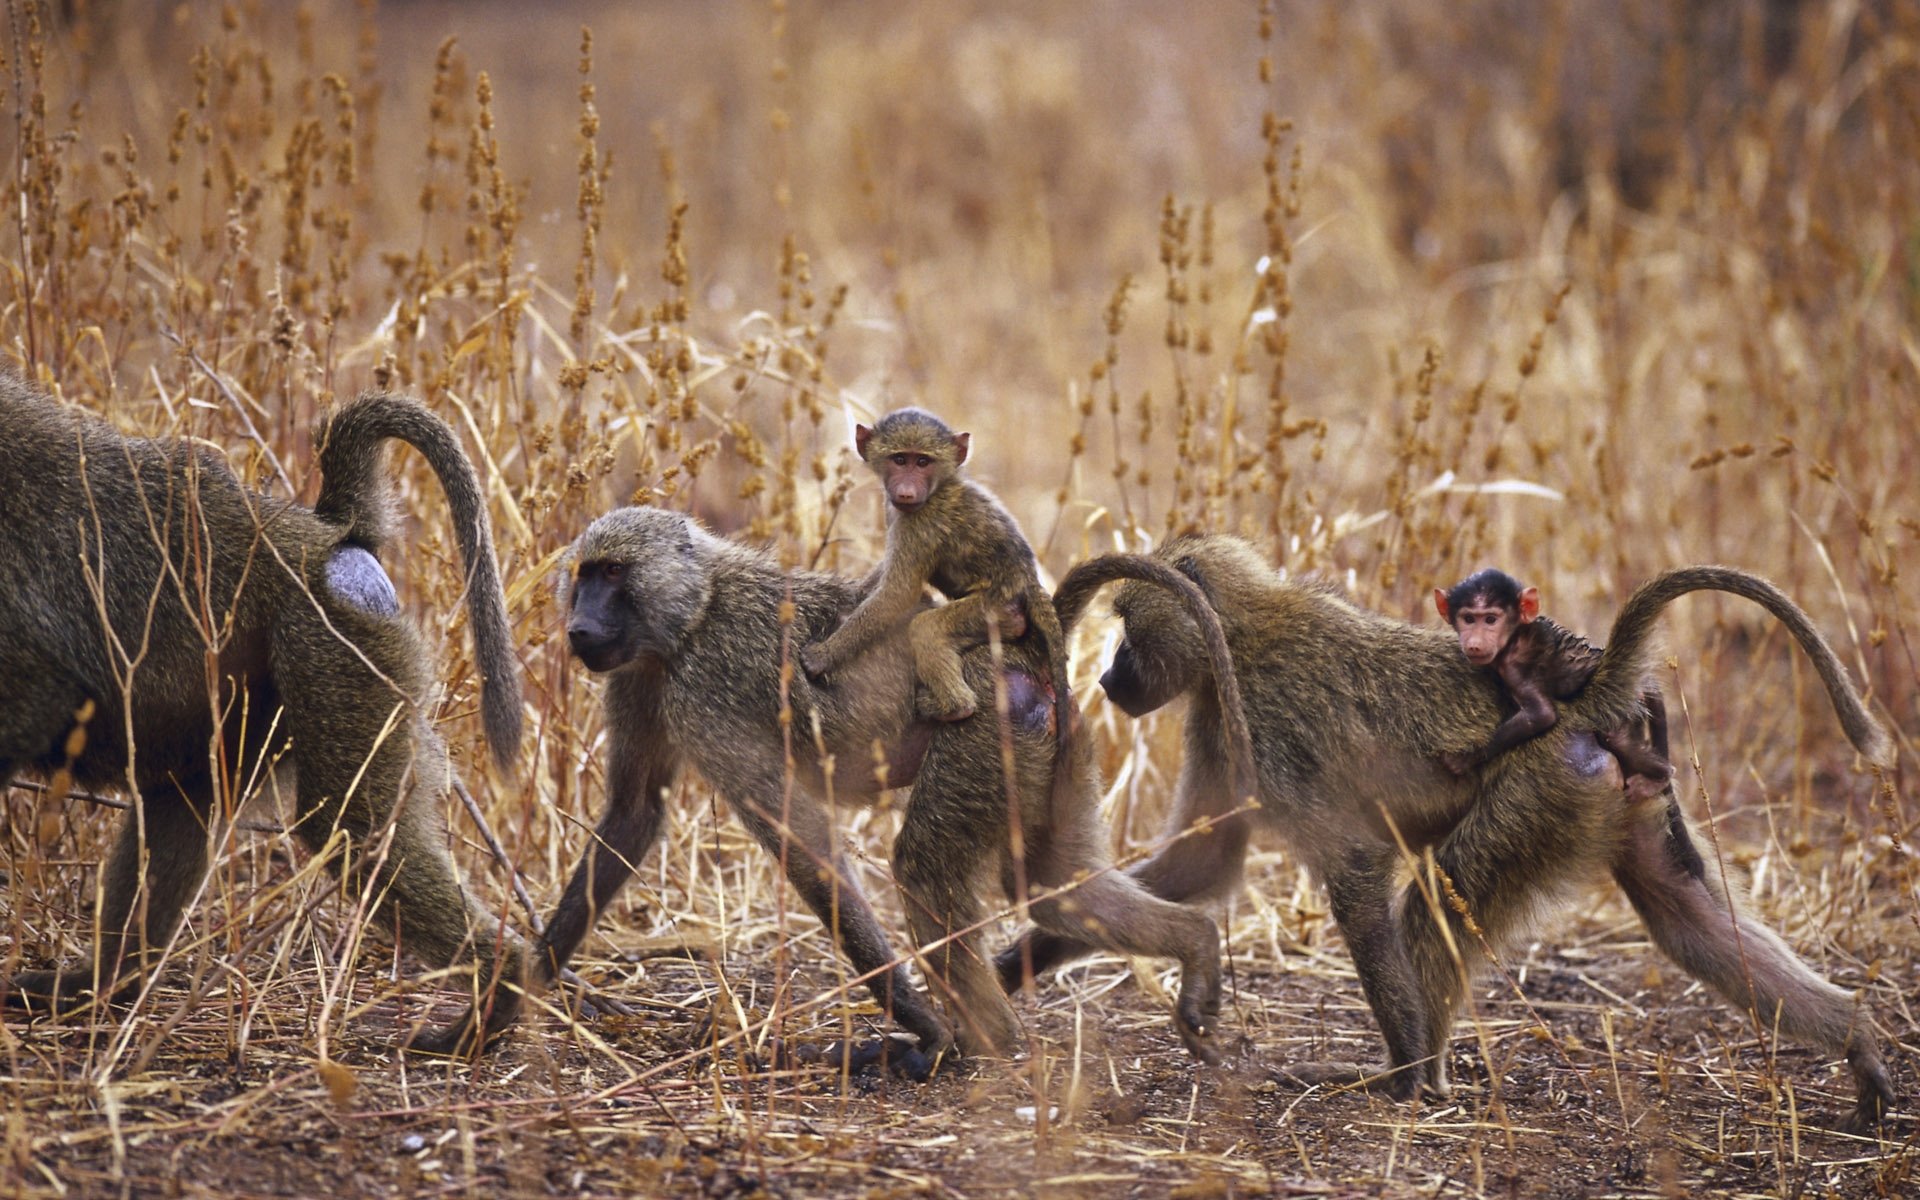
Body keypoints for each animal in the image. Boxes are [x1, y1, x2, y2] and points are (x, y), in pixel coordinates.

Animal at [0, 375, 524, 1055]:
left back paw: (491, 1003)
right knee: (183, 801)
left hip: (329, 648)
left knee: (351, 831)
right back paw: (97, 988)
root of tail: (324, 537)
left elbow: (38, 700)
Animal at [425, 505, 1245, 1068]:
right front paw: (485, 1018)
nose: (579, 627)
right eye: (586, 574)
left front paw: (919, 1019)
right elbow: (632, 815)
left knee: (926, 868)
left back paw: (976, 1046)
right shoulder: (639, 676)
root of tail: (1026, 653)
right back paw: (1196, 951)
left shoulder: (699, 690)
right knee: (1057, 888)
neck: (694, 612)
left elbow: (805, 842)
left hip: (988, 732)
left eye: (613, 575)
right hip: (1051, 752)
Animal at [798, 407, 1072, 748]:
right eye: (899, 459)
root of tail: (1029, 582)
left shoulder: (920, 525)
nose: (906, 491)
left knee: (927, 628)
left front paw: (822, 656)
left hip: (991, 607)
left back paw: (955, 706)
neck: (938, 488)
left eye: (923, 462)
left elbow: (897, 595)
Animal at [1433, 568, 1672, 797]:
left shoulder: (1514, 669)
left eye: (1491, 619)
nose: (1474, 643)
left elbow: (1541, 714)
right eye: (1469, 619)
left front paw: (1464, 759)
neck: (1516, 634)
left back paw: (1661, 777)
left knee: (1618, 740)